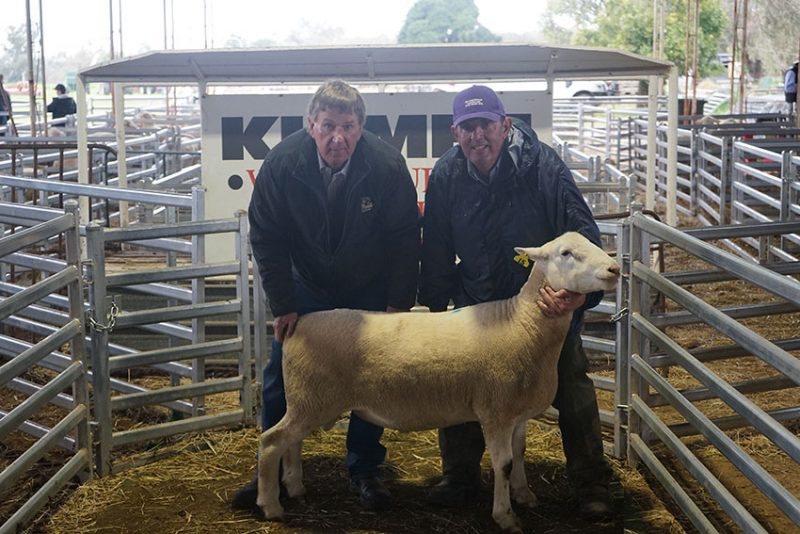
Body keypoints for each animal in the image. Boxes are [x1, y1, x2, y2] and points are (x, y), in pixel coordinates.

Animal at [257, 231, 620, 533]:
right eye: (566, 253)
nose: (615, 268)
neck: (521, 323)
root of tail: (299, 324)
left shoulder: (516, 412)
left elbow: (518, 454)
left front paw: (525, 495)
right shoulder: (496, 410)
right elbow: (502, 463)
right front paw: (506, 516)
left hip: (307, 400)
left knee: (291, 443)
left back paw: (296, 488)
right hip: (311, 398)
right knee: (272, 441)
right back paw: (271, 505)